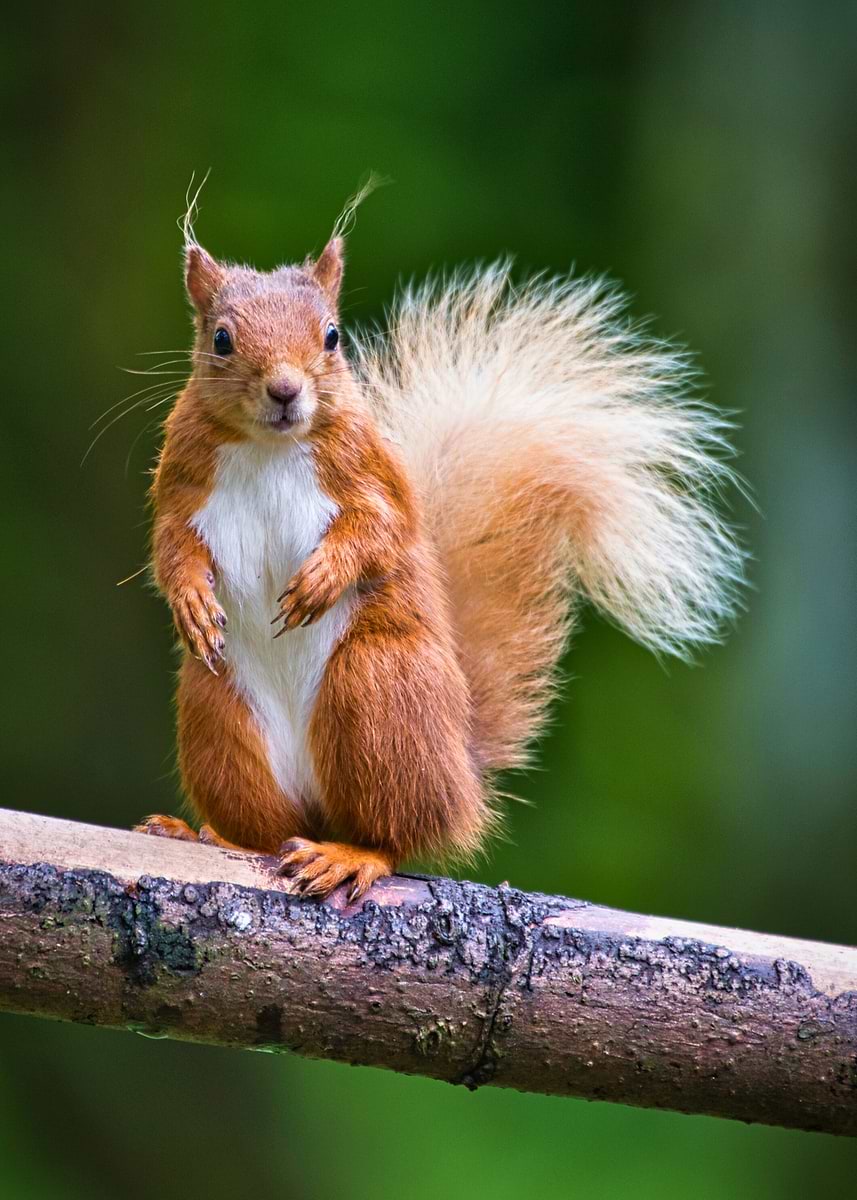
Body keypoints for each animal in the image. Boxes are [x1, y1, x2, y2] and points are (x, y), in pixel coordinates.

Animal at [135, 203, 745, 901]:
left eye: (332, 336)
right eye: (221, 339)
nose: (285, 390)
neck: (269, 445)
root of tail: (459, 777)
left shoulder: (372, 479)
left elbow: (379, 533)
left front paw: (323, 578)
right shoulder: (182, 486)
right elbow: (172, 548)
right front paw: (190, 602)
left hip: (377, 691)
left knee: (393, 836)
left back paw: (349, 855)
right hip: (217, 716)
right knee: (268, 829)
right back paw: (204, 834)